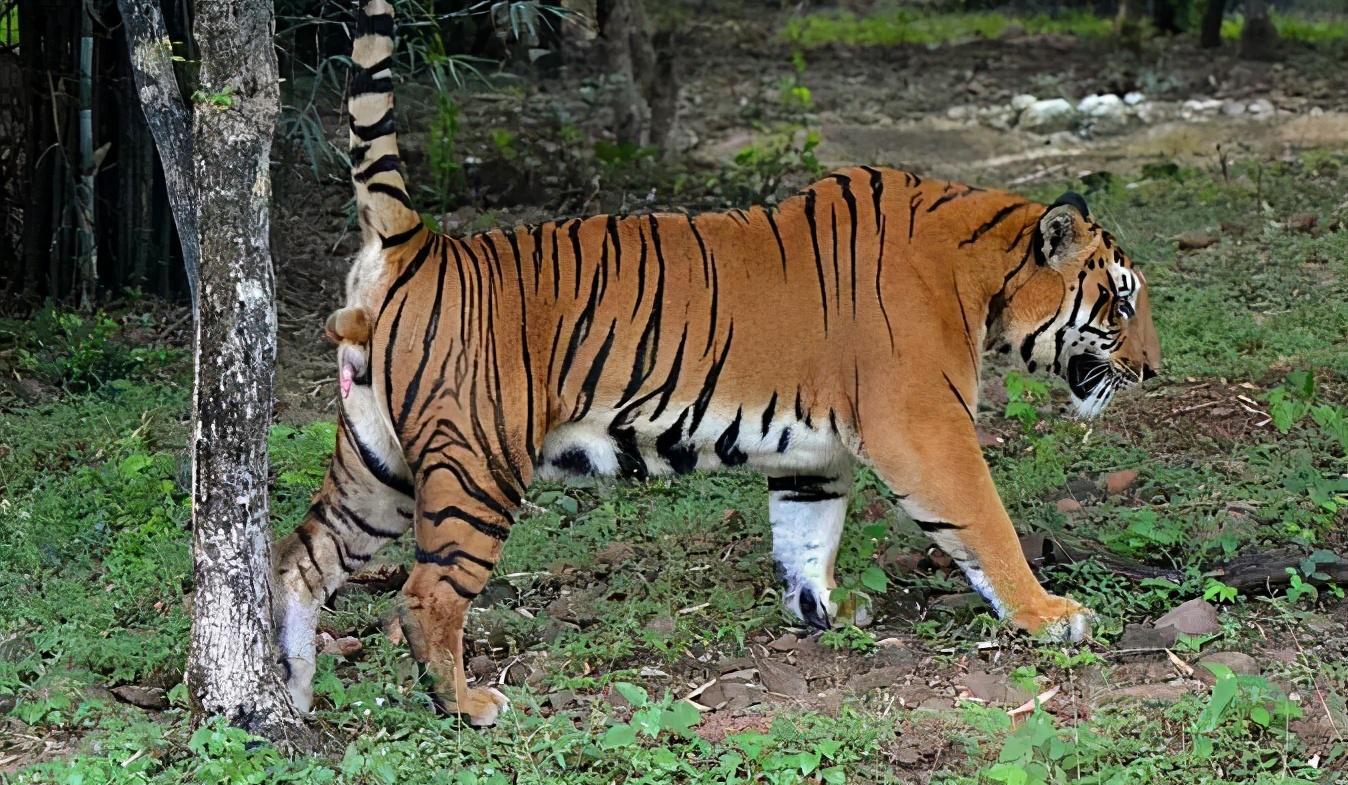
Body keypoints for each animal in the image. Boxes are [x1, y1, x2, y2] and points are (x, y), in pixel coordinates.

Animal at [272, 0, 1161, 726]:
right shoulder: (925, 428)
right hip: (476, 463)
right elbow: (987, 524)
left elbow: (806, 535)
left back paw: (287, 698)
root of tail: (414, 242)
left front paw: (822, 611)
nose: (1153, 370)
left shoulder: (815, 455)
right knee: (423, 595)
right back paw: (466, 704)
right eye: (1120, 303)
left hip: (376, 468)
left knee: (298, 562)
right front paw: (1049, 613)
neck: (979, 272)